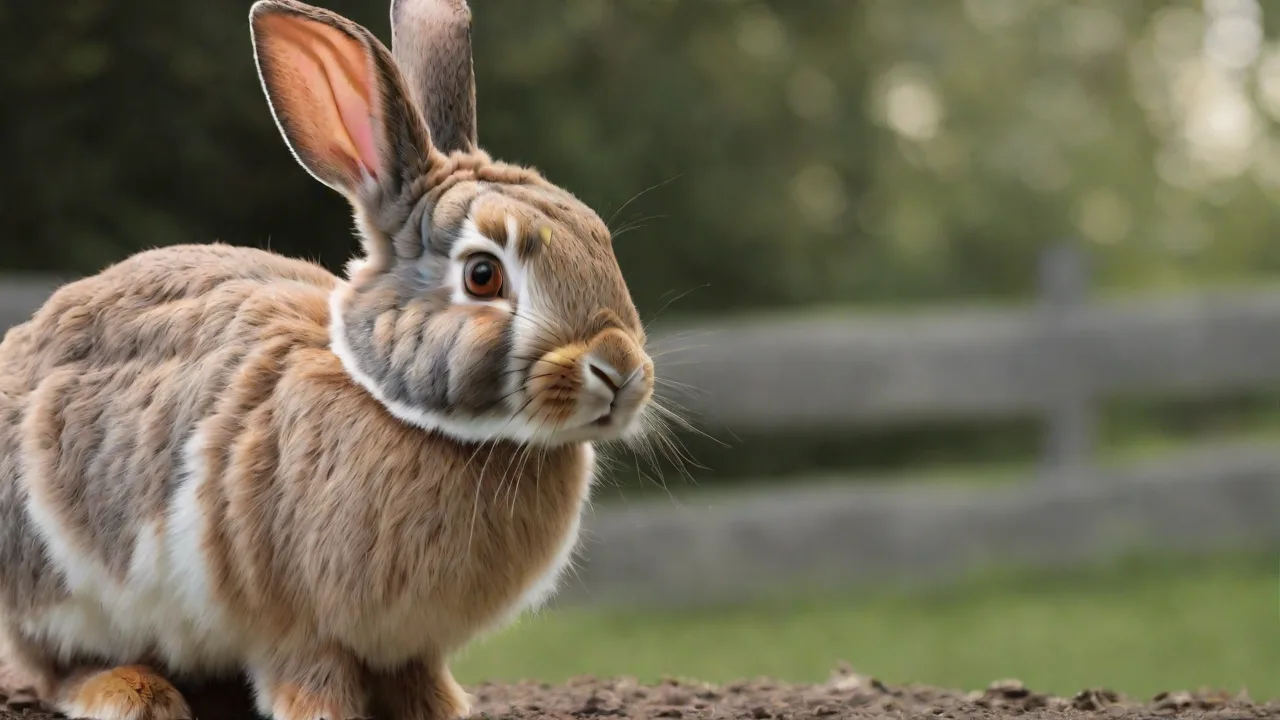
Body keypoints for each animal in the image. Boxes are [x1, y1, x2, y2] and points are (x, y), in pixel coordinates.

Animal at [0, 0, 657, 718]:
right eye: (482, 275)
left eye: (598, 238)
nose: (620, 372)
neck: (404, 411)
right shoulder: (296, 627)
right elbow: (312, 678)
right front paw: (323, 710)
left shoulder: (410, 645)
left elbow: (419, 678)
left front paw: (444, 708)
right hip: (56, 580)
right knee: (53, 666)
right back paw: (133, 693)